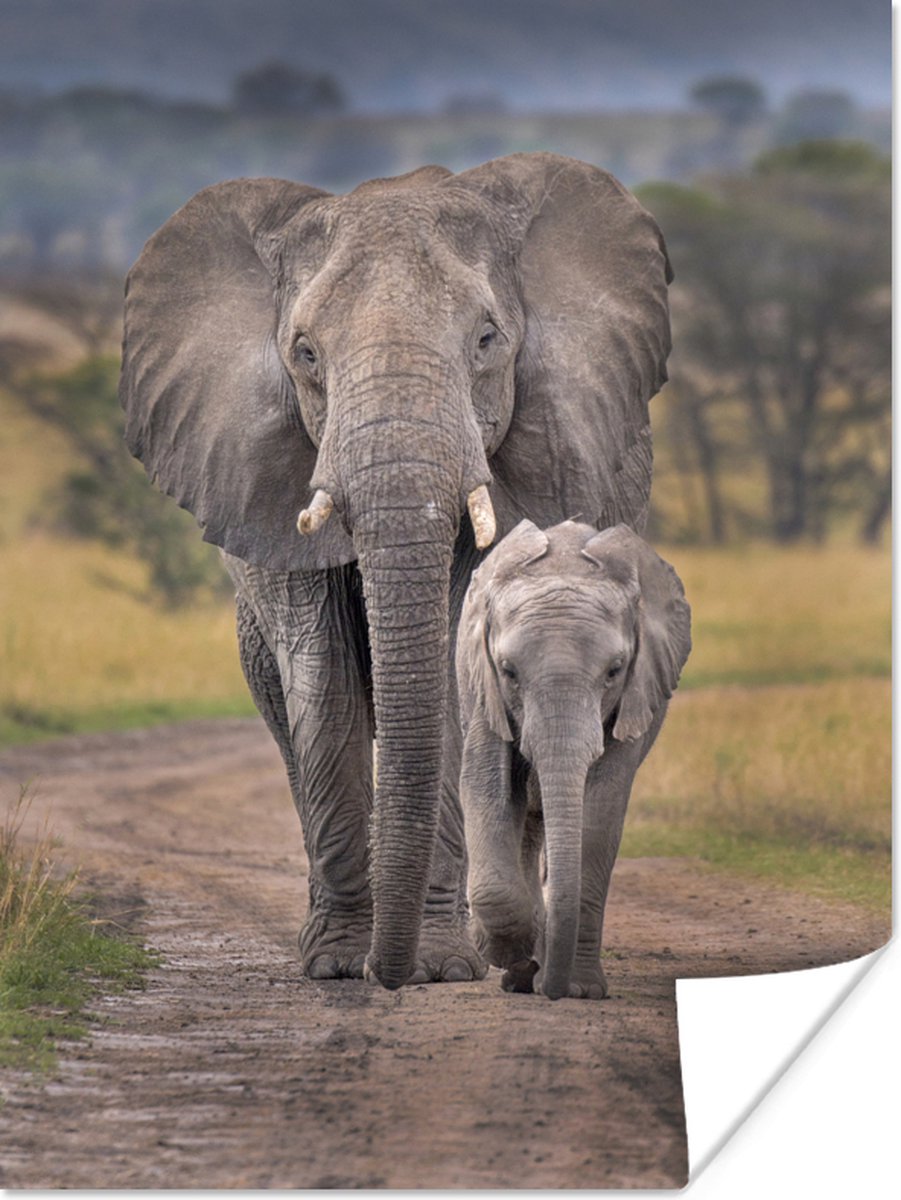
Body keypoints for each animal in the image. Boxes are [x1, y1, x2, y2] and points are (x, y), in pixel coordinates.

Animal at [455, 519, 691, 1000]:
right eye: (508, 671)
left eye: (614, 671)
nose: (554, 990)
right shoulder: (482, 689)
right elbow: (484, 787)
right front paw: (503, 947)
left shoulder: (636, 697)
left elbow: (600, 813)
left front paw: (580, 990)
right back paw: (522, 974)